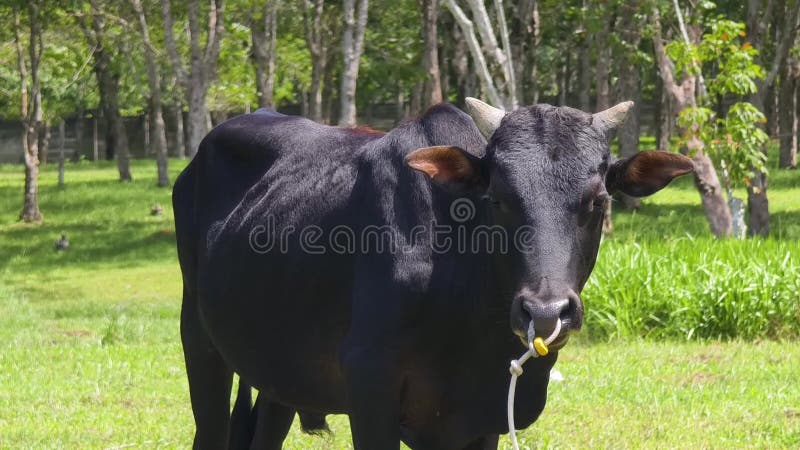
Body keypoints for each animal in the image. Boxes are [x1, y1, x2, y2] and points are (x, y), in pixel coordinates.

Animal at [173, 99, 693, 450]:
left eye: (599, 201)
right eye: (497, 198)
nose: (546, 311)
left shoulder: (482, 419)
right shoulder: (371, 391)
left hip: (276, 368)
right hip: (199, 341)